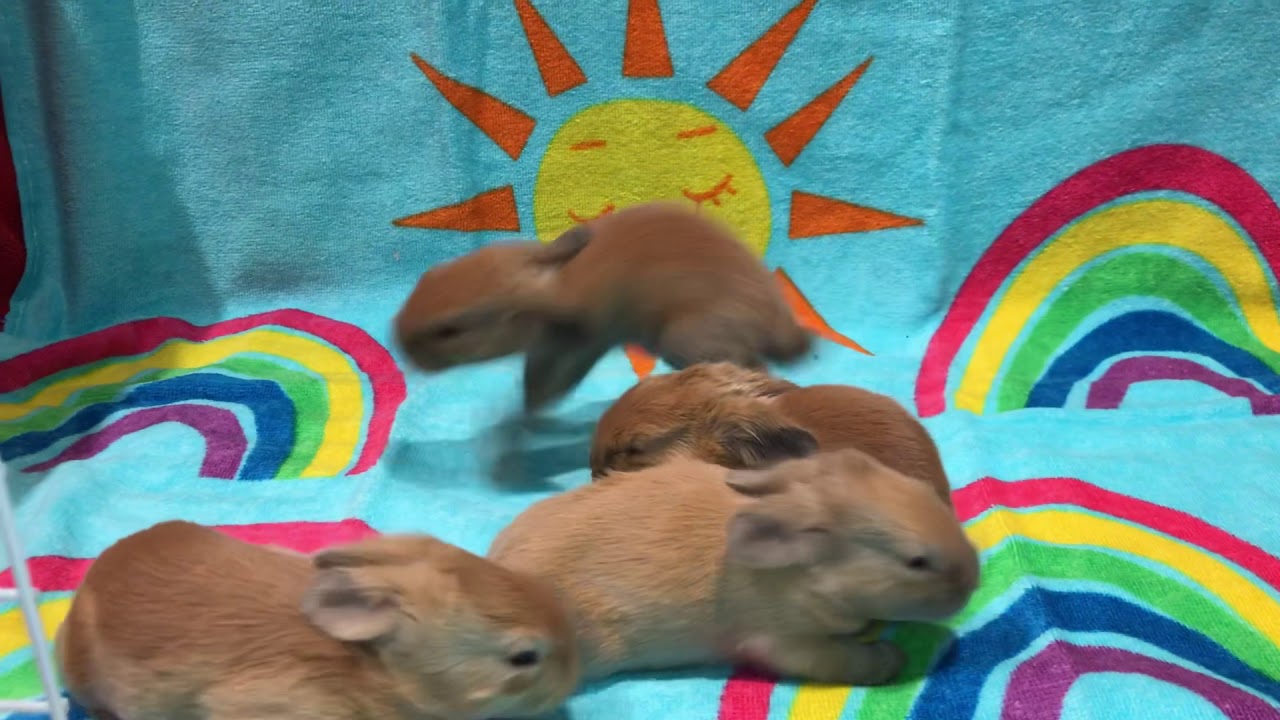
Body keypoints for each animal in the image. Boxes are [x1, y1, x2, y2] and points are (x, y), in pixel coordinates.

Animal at [394, 202, 813, 411]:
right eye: (427, 277)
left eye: (450, 330)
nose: (398, 339)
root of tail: (777, 319)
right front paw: (529, 409)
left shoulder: (581, 334)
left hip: (687, 338)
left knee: (754, 367)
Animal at [488, 449, 980, 685]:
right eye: (917, 561)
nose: (974, 581)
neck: (801, 574)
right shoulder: (777, 640)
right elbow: (842, 658)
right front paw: (894, 657)